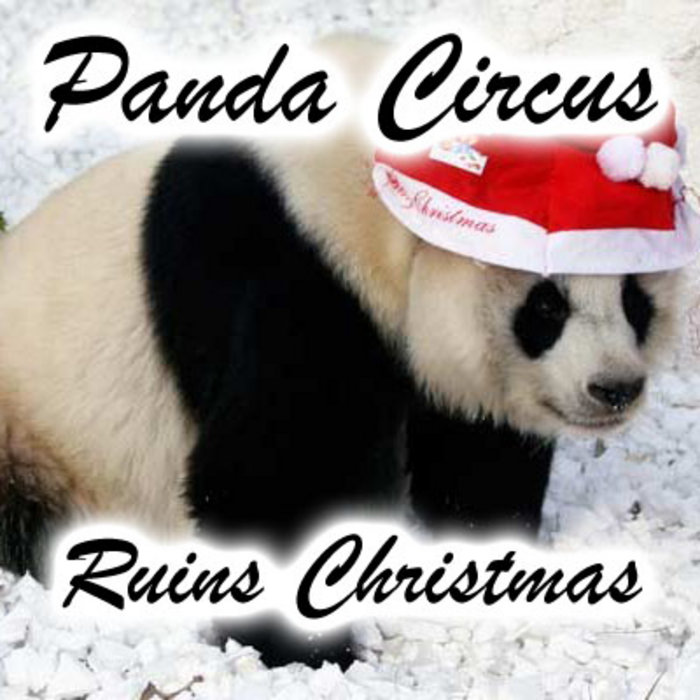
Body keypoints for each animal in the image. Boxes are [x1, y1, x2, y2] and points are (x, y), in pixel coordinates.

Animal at [0, 36, 680, 667]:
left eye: (634, 298)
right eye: (545, 307)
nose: (614, 387)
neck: (377, 191)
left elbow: (475, 449)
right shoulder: (298, 270)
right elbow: (272, 469)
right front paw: (305, 650)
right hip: (43, 435)